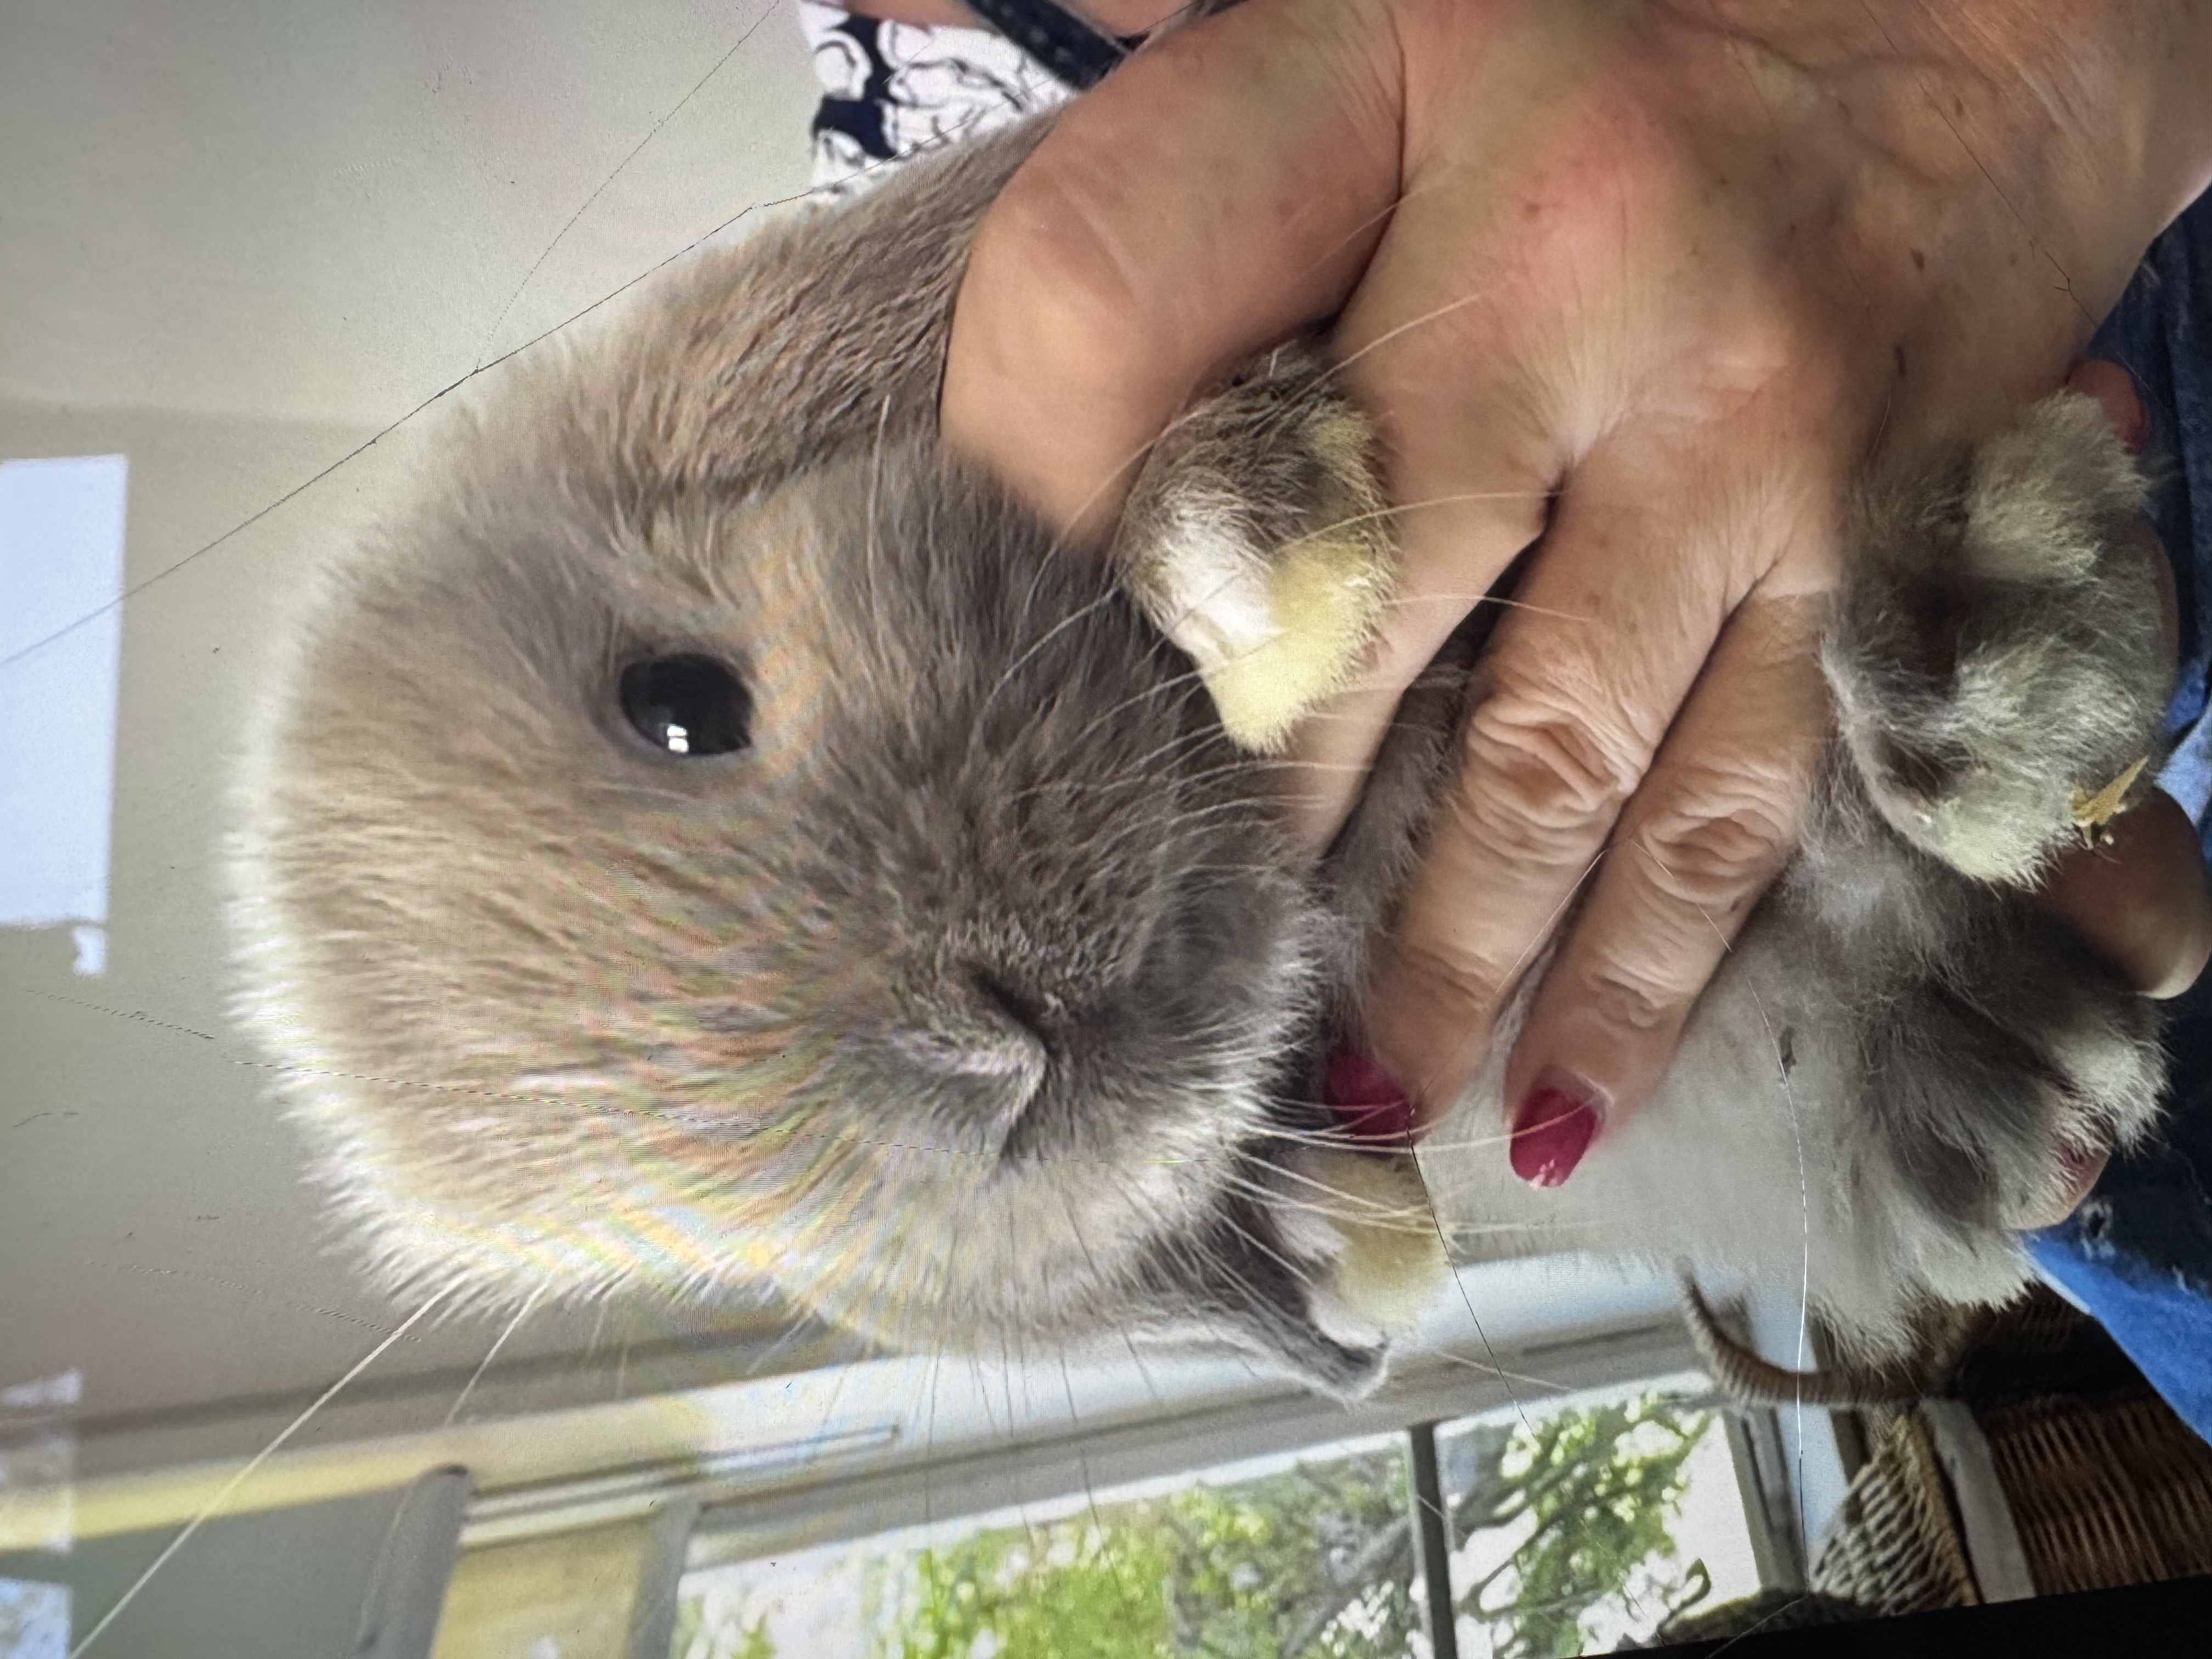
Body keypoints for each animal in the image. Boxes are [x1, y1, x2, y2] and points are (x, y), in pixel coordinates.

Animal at [226, 109, 2174, 1401]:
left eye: (680, 703)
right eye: (718, 1242)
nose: (996, 1063)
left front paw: (1259, 560)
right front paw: (1342, 1239)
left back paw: (1994, 646)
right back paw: (1994, 1100)